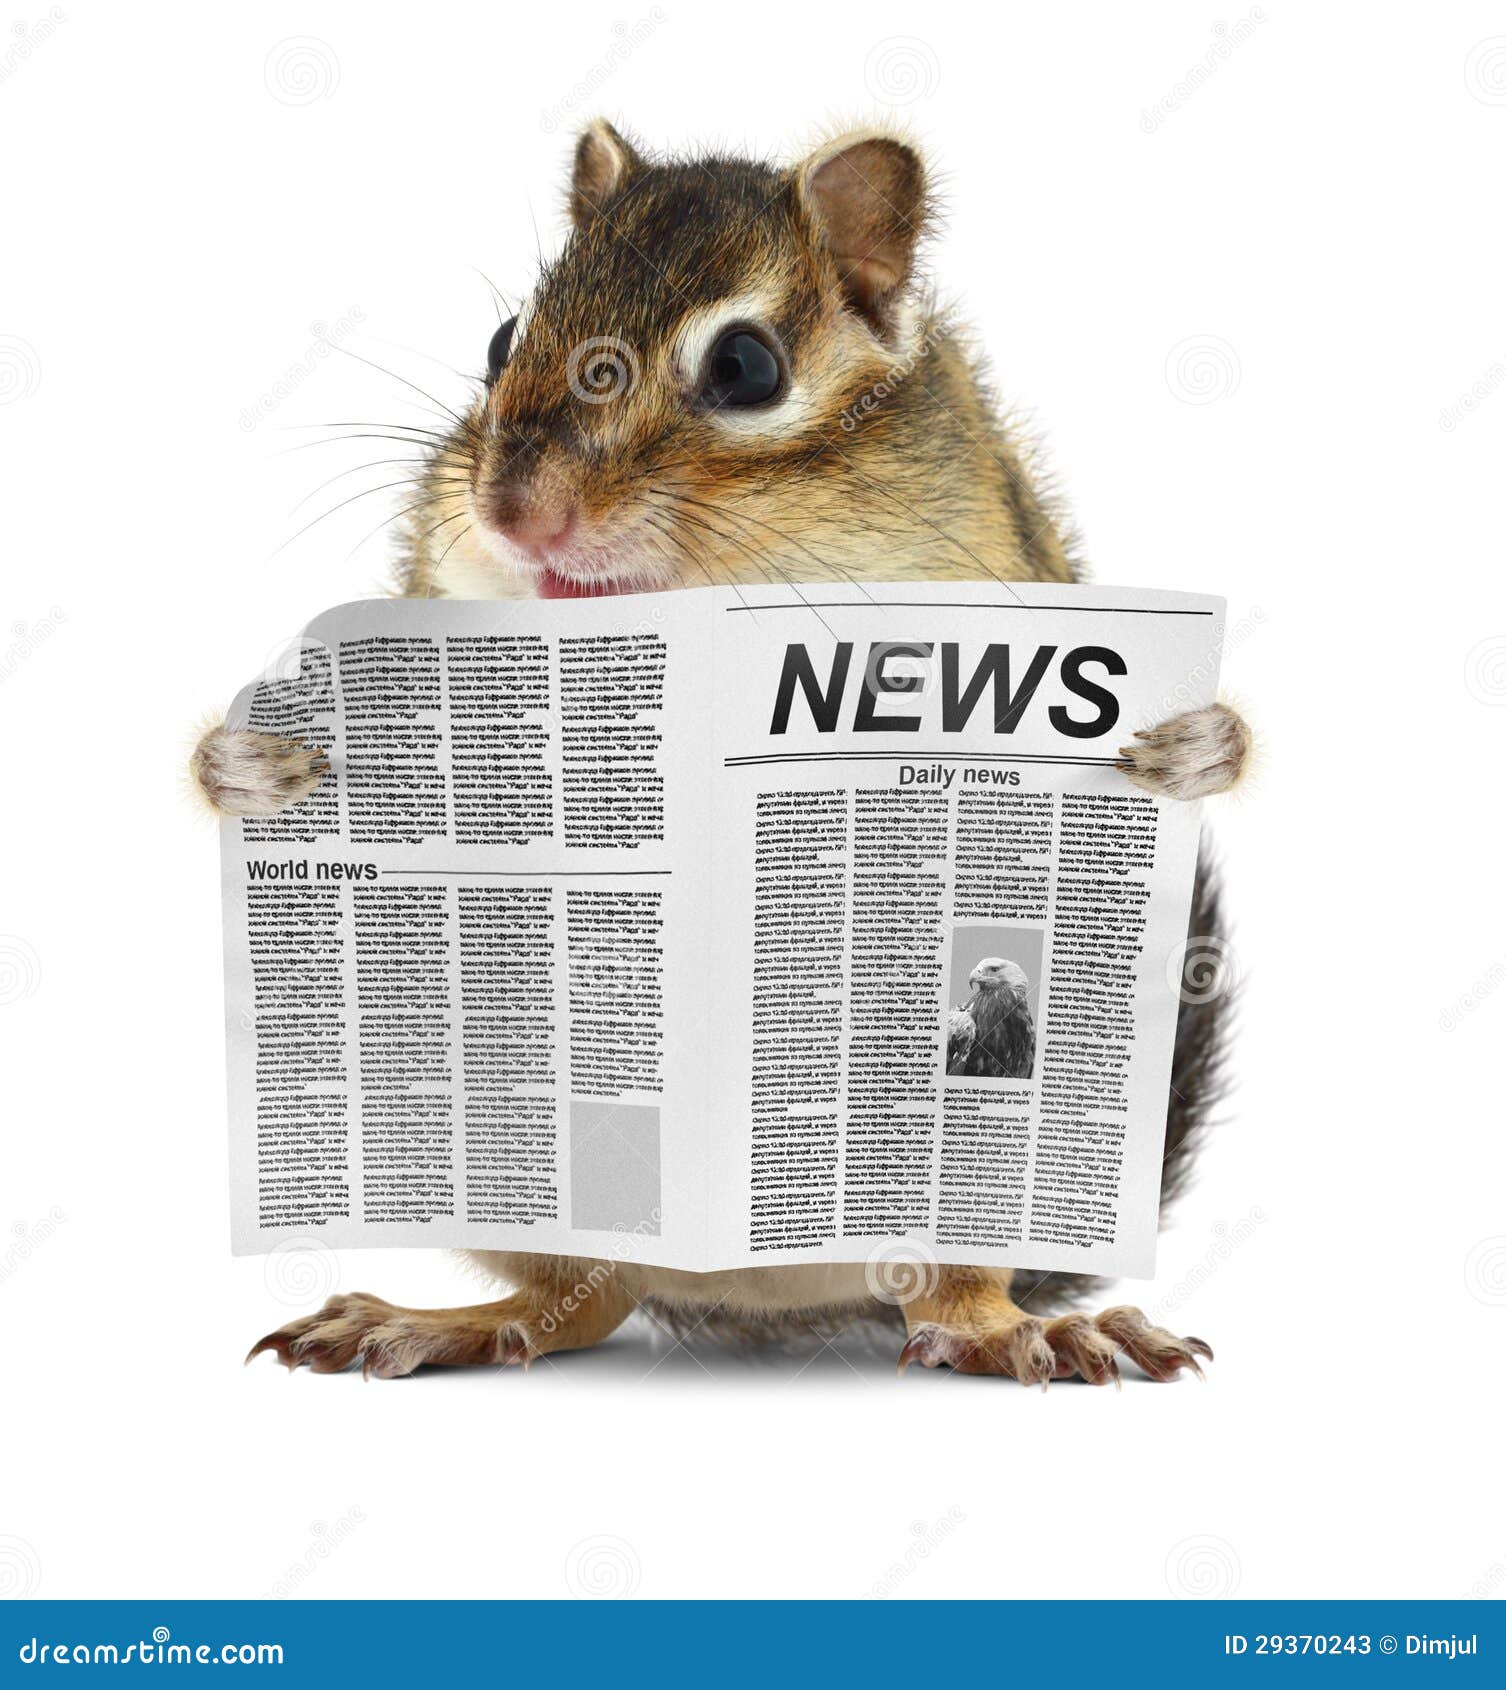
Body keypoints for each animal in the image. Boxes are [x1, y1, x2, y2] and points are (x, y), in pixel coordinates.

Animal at [198, 121, 1252, 1385]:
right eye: (503, 342)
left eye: (748, 368)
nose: (514, 511)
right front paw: (252, 764)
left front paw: (1194, 745)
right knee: (574, 1304)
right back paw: (443, 1320)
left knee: (946, 1294)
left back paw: (1027, 1326)